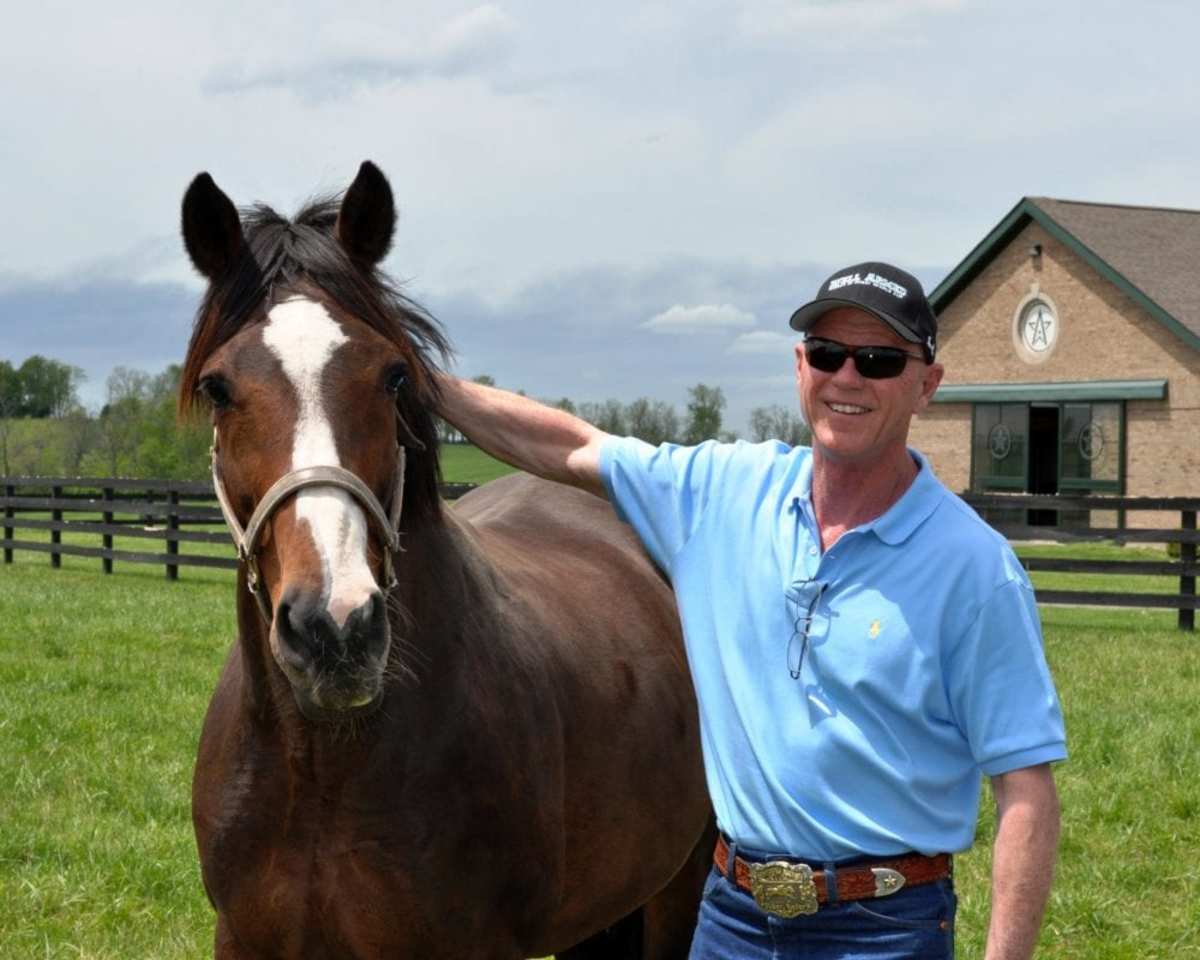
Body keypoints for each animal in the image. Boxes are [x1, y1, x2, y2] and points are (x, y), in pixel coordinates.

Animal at [180, 161, 713, 959]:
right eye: (218, 387)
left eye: (395, 376)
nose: (335, 629)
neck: (323, 767)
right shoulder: (244, 940)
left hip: (680, 887)